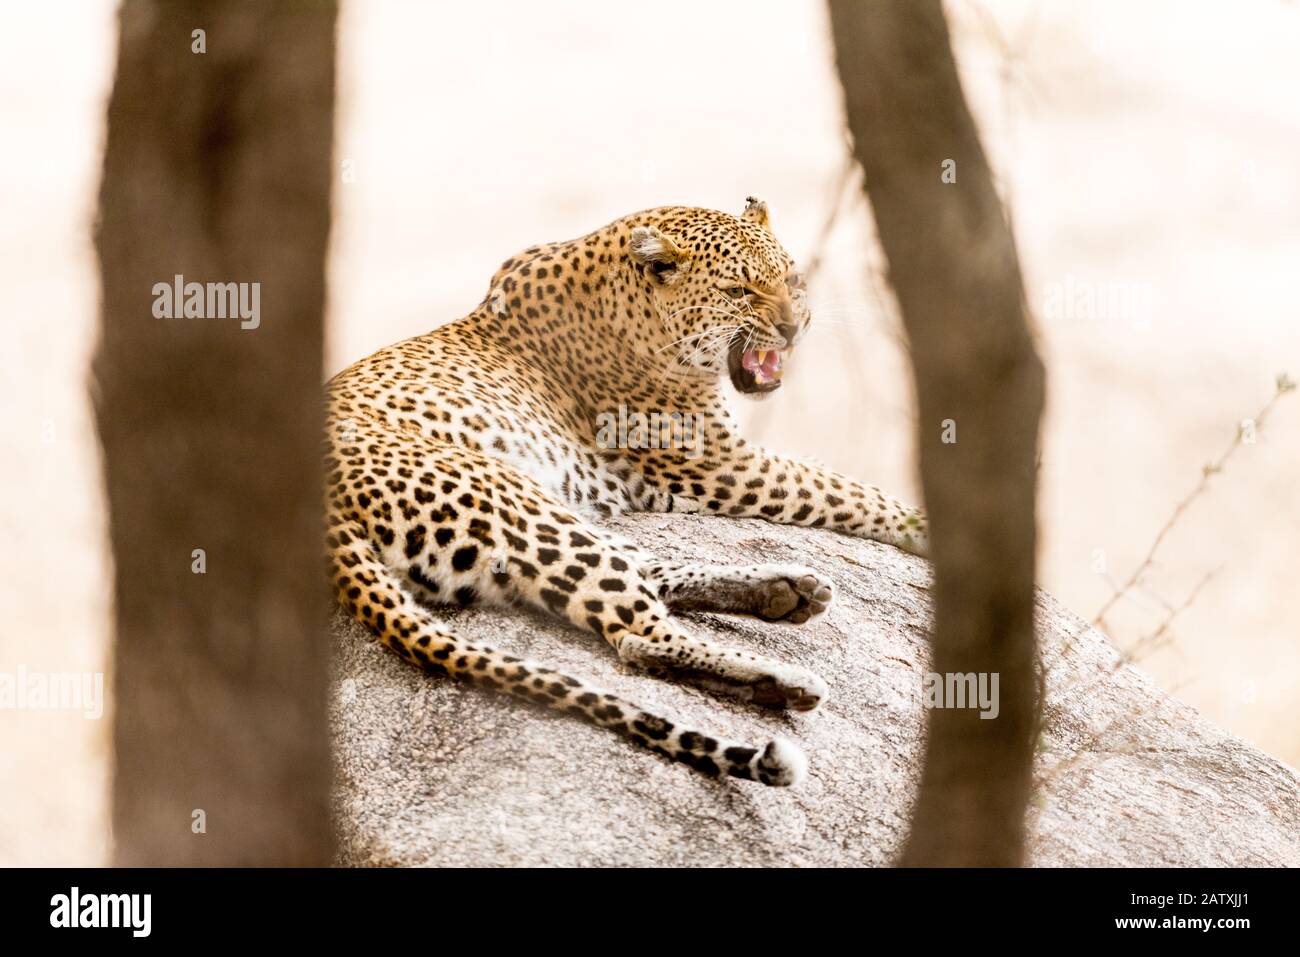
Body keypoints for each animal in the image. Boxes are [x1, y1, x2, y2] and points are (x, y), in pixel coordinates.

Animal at [325, 198, 928, 787]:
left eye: (793, 279)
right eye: (737, 292)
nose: (794, 327)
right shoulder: (723, 466)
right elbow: (845, 490)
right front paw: (921, 525)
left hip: (540, 511)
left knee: (646, 574)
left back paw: (787, 590)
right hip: (510, 499)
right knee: (637, 636)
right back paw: (778, 677)